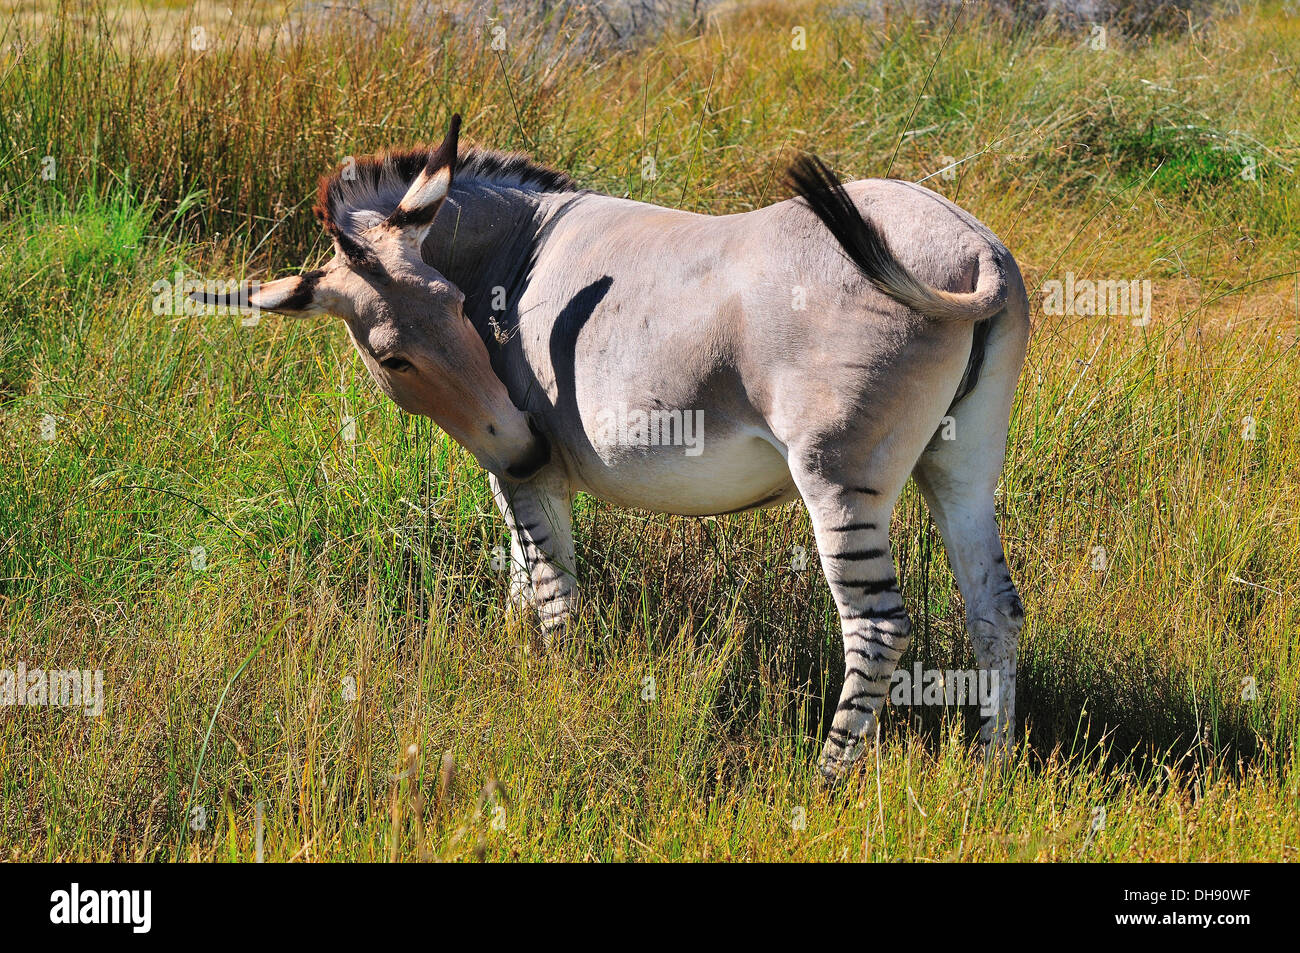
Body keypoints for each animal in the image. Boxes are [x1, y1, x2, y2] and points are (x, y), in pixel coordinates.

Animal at [194, 115, 1029, 780]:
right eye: (393, 356)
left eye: (462, 308)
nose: (529, 444)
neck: (518, 249)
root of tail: (974, 249)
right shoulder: (512, 470)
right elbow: (521, 579)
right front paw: (514, 665)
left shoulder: (523, 474)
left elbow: (552, 593)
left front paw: (556, 702)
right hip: (964, 465)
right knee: (995, 609)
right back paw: (991, 768)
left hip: (838, 473)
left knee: (878, 628)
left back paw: (826, 780)